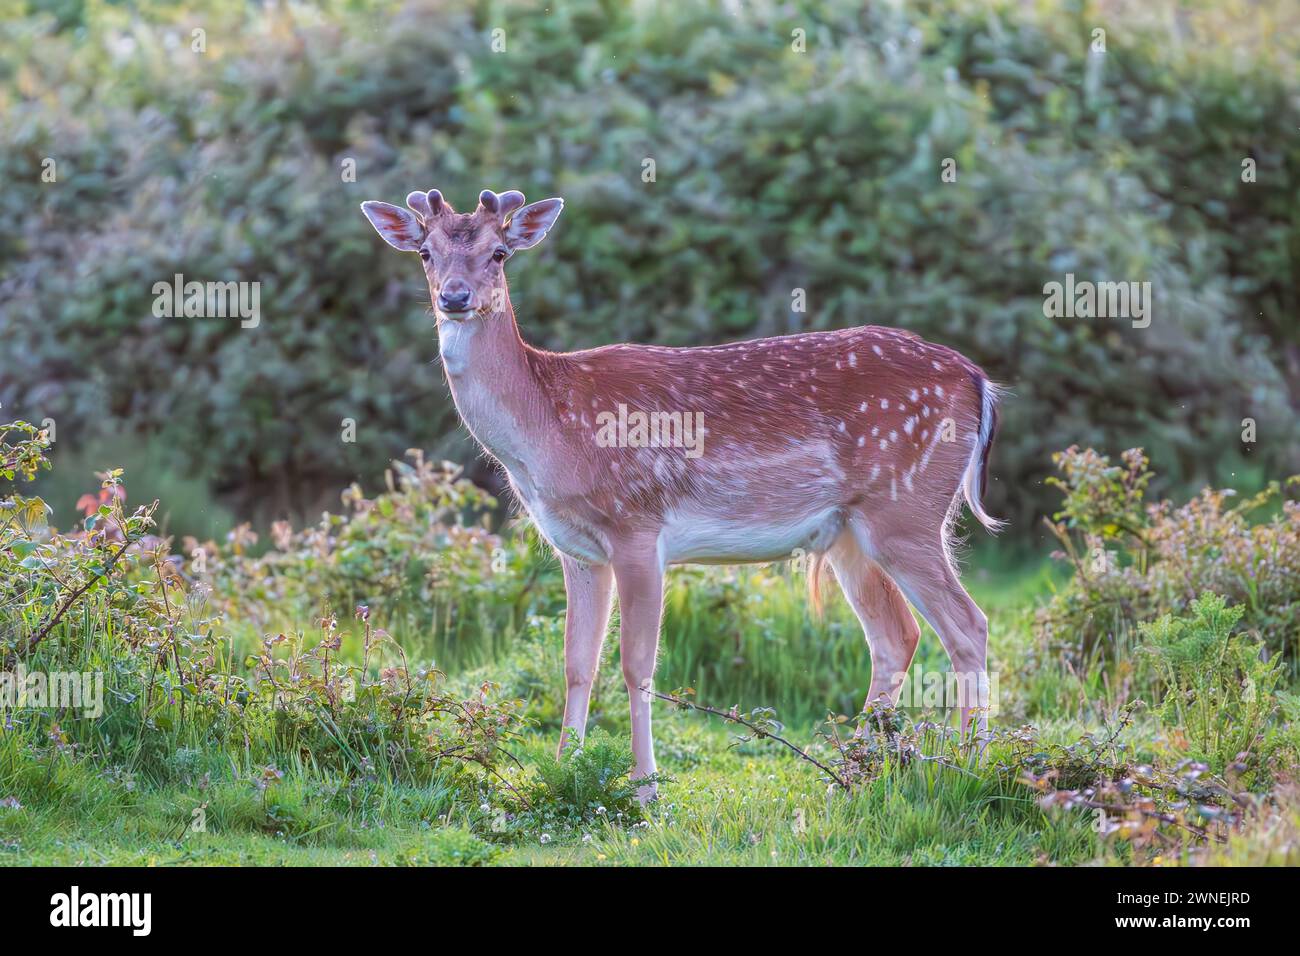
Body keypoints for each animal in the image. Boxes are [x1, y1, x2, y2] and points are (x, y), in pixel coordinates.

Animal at [361, 187, 1002, 801]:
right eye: (426, 253)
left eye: (499, 252)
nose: (455, 296)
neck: (549, 430)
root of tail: (979, 381)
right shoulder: (575, 549)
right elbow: (576, 663)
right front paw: (563, 771)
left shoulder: (637, 526)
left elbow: (636, 665)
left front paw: (645, 791)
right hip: (849, 533)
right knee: (896, 637)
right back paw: (852, 773)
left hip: (907, 510)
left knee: (967, 626)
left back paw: (972, 767)